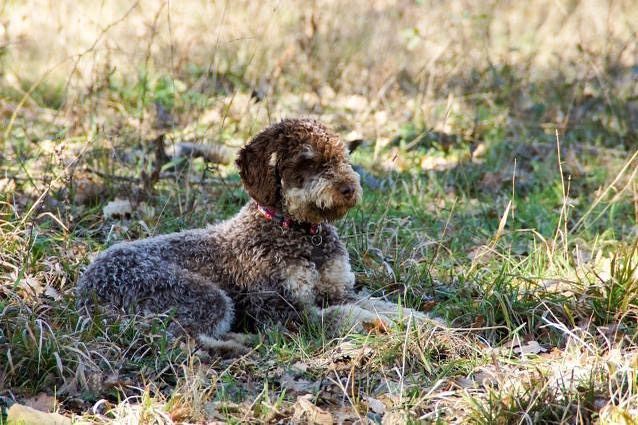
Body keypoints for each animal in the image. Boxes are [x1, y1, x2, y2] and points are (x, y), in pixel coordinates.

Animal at [75, 117, 424, 350]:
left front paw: (424, 323)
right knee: (178, 338)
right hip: (201, 295)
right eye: (307, 160)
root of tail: (86, 287)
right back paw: (238, 345)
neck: (300, 232)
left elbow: (384, 305)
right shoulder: (278, 308)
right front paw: (374, 324)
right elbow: (342, 316)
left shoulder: (338, 289)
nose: (349, 188)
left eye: (342, 156)